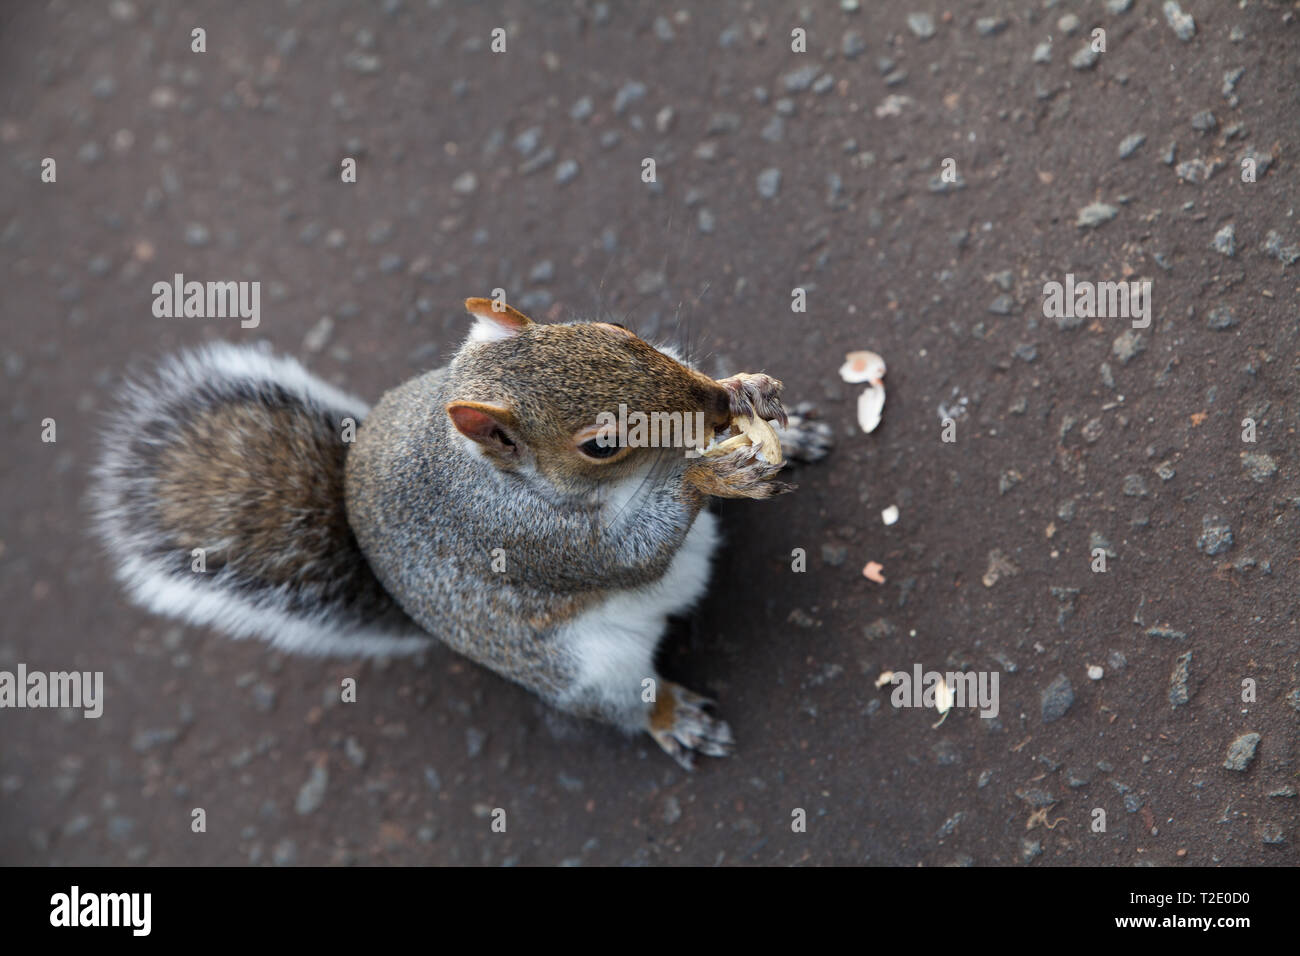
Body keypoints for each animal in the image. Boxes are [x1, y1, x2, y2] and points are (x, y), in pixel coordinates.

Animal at [92, 298, 832, 767]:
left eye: (622, 329)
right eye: (601, 445)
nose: (712, 405)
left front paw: (751, 396)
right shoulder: (524, 537)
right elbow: (630, 553)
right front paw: (717, 472)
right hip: (584, 668)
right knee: (622, 703)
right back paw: (674, 717)